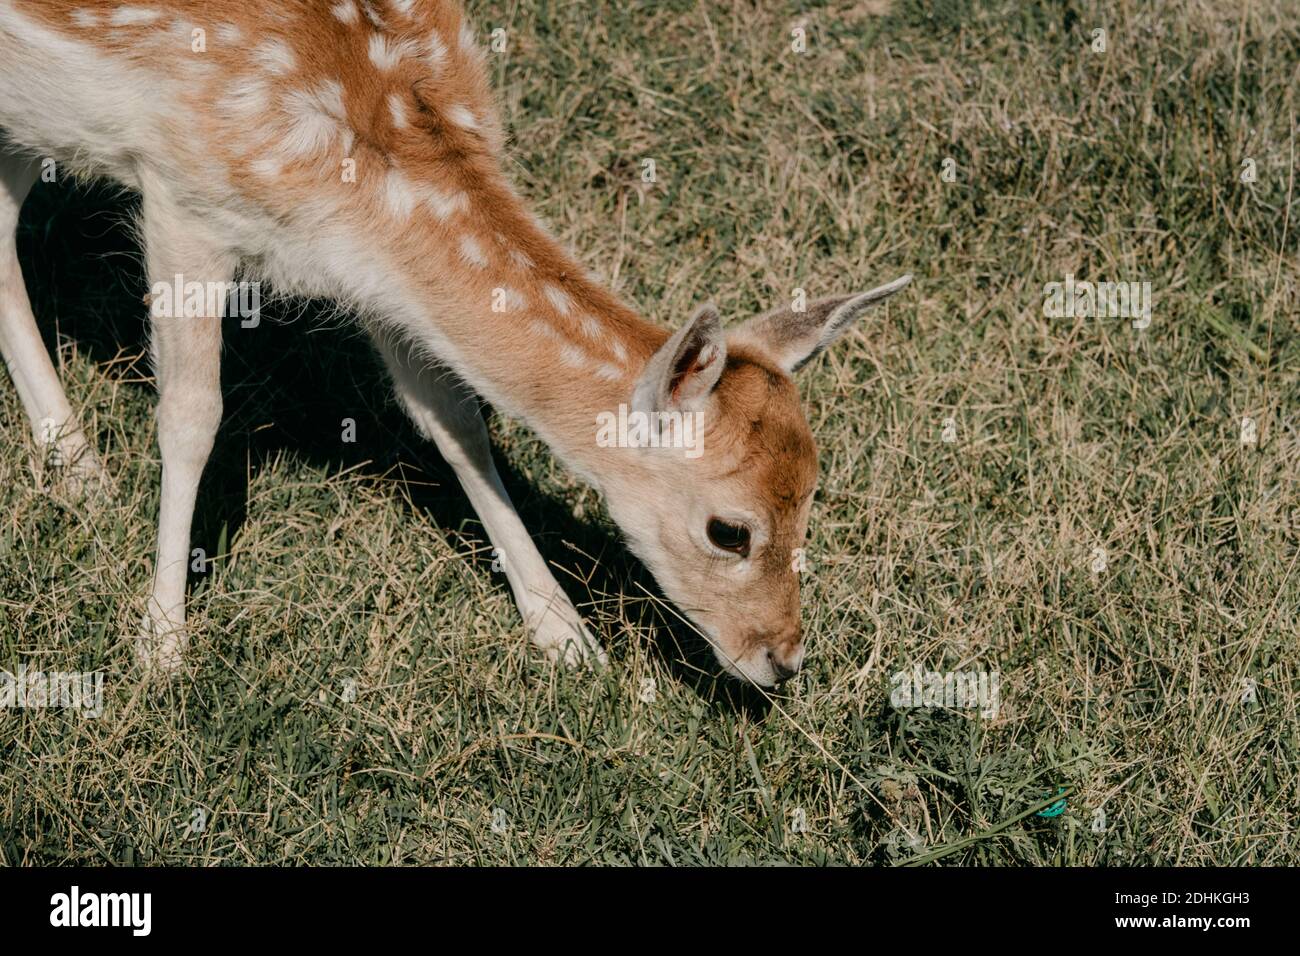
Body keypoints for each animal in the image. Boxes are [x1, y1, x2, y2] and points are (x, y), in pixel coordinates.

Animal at [0, 0, 910, 687]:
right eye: (731, 530)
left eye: (815, 495)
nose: (783, 660)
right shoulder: (185, 199)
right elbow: (192, 419)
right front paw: (161, 647)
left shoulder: (380, 277)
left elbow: (456, 420)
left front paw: (565, 636)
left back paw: (77, 470)